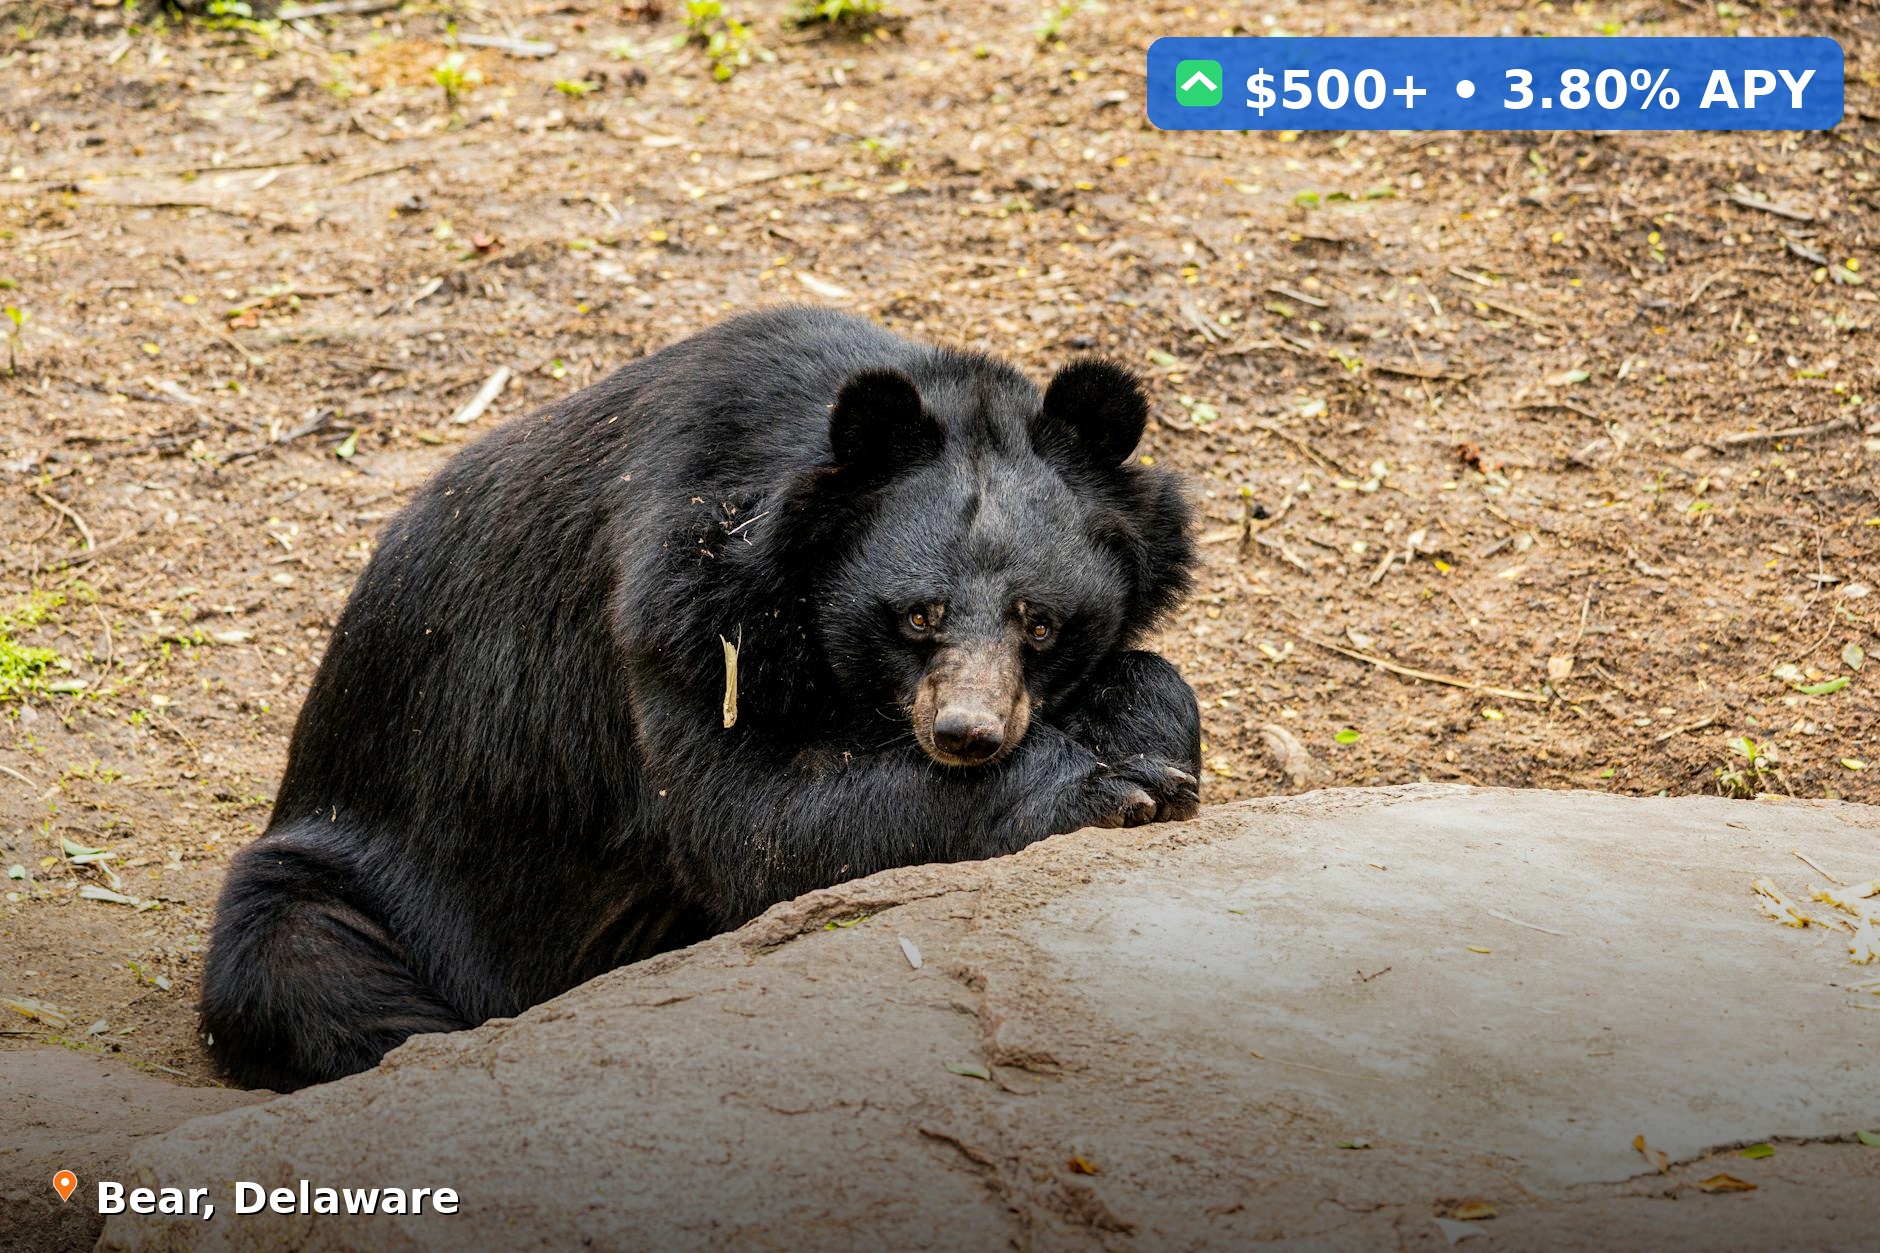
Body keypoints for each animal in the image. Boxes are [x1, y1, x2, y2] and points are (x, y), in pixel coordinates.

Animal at [198, 307, 1201, 1092]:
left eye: (1042, 622)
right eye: (919, 614)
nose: (967, 735)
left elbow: (1152, 677)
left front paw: (1151, 747)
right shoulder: (678, 609)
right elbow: (752, 822)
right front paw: (1109, 788)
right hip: (358, 870)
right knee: (304, 963)